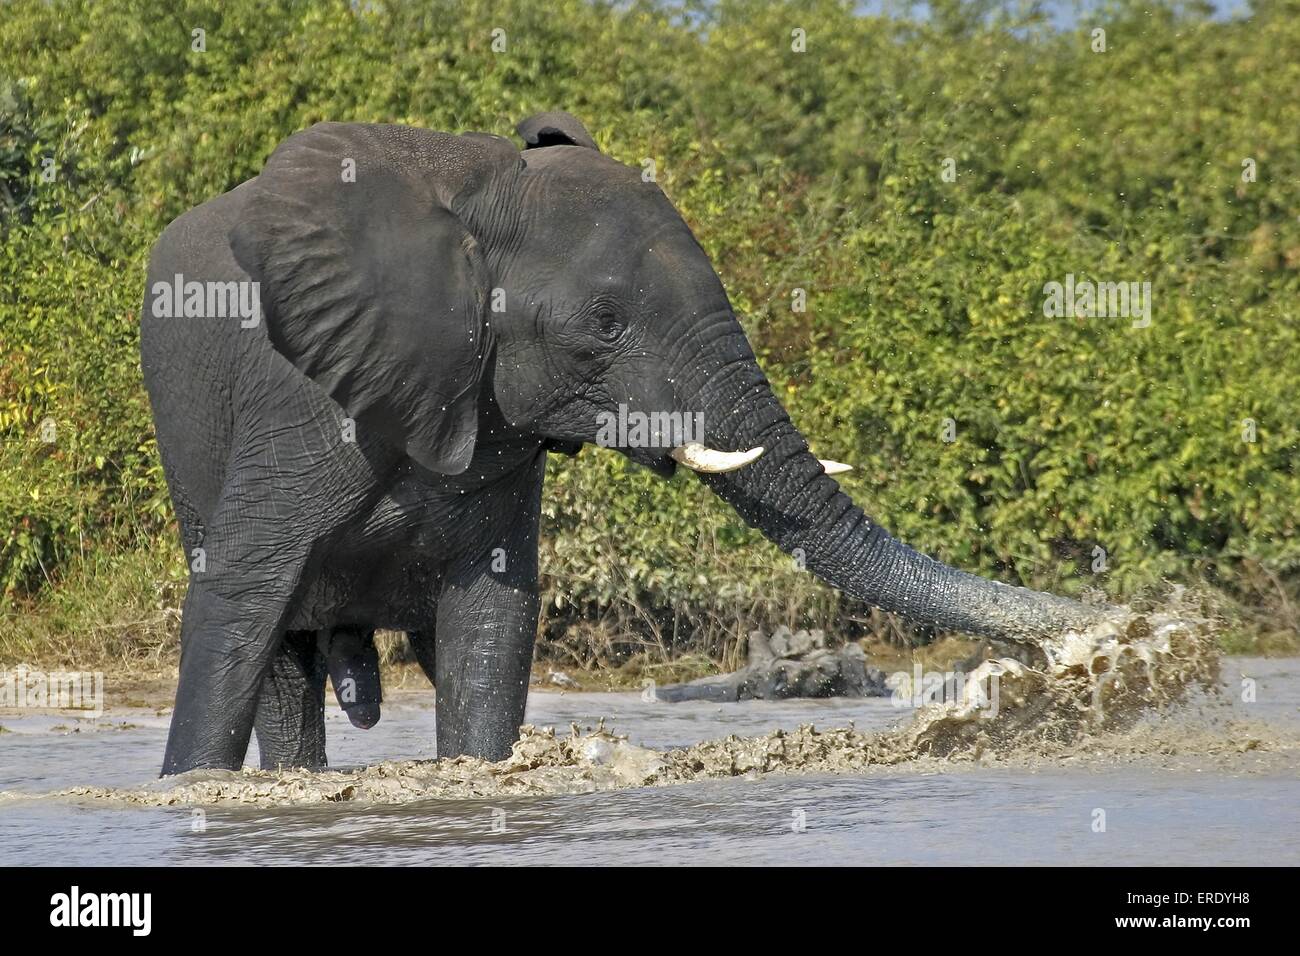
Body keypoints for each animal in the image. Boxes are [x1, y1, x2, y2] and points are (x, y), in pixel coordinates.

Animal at [141, 111, 1115, 776]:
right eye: (605, 324)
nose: (1118, 636)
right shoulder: (298, 401)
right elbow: (238, 598)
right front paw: (187, 786)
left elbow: (493, 614)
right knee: (279, 650)